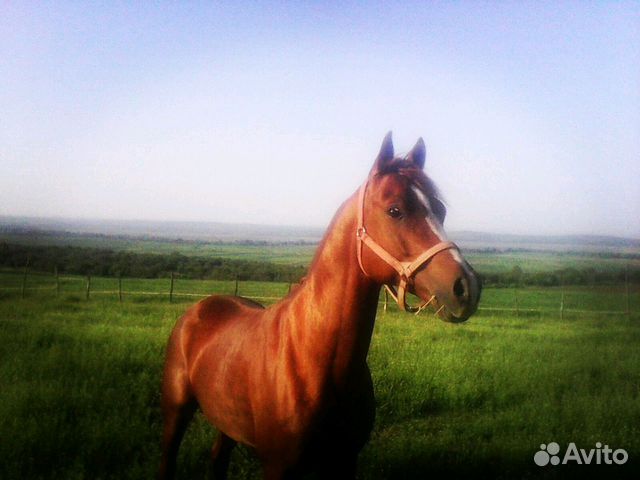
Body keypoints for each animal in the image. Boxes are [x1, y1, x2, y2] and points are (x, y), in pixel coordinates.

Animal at [159, 132, 481, 479]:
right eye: (395, 210)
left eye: (440, 210)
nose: (466, 287)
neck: (314, 360)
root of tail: (201, 308)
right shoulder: (277, 466)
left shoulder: (345, 460)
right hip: (176, 411)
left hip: (227, 422)